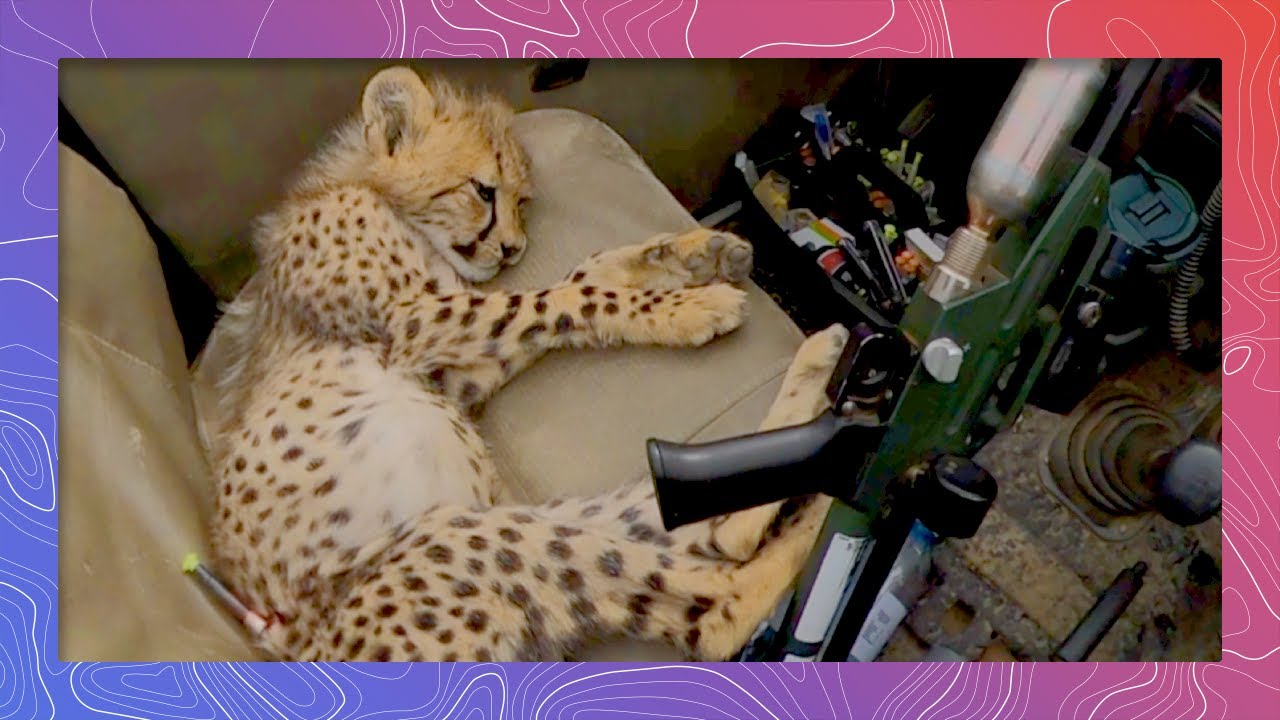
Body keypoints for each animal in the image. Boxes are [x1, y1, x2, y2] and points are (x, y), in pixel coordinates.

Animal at [205, 65, 843, 662]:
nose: (513, 248)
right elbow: (568, 297)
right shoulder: (417, 323)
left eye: (521, 200)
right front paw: (687, 307)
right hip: (459, 538)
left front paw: (692, 255)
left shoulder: (451, 368)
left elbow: (582, 275)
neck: (372, 194)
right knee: (716, 604)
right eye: (484, 191)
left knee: (707, 531)